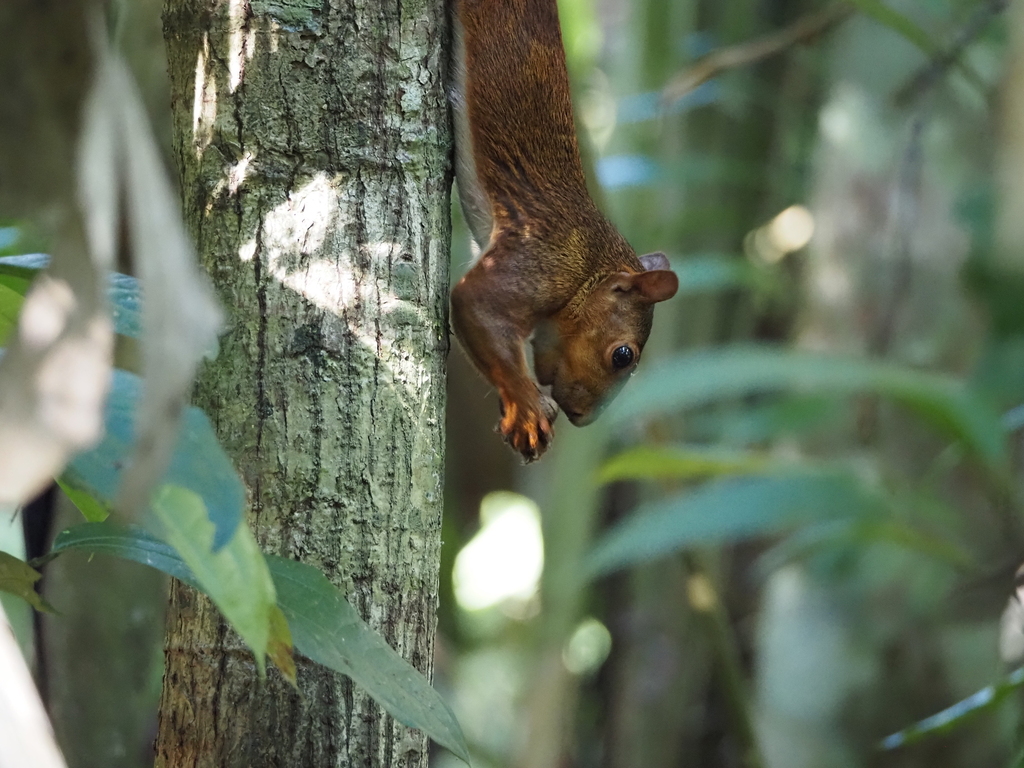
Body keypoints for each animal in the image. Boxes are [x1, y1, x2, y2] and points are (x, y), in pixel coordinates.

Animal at [450, 0, 678, 462]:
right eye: (623, 356)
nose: (584, 418)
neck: (591, 265)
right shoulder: (549, 260)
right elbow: (476, 302)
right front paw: (525, 410)